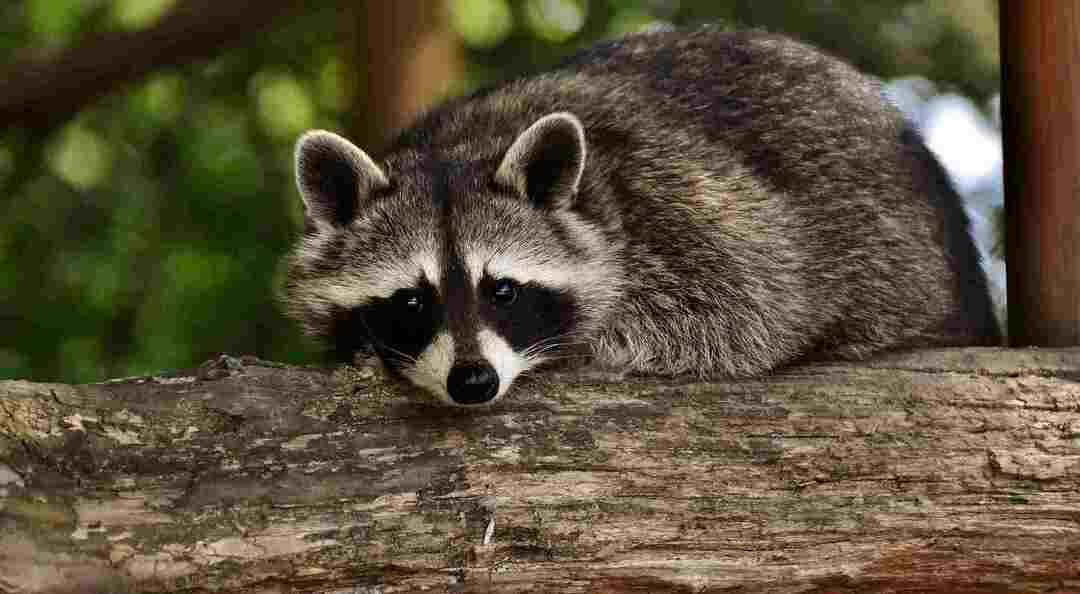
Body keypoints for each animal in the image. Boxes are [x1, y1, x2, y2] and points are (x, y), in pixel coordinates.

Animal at [282, 27, 997, 410]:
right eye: (410, 299)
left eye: (503, 290)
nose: (473, 382)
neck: (459, 148)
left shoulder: (688, 211)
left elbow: (752, 310)